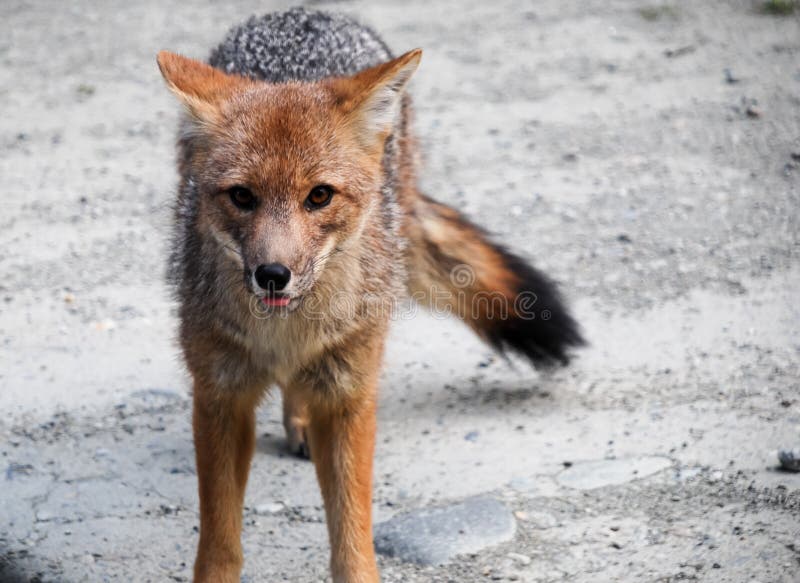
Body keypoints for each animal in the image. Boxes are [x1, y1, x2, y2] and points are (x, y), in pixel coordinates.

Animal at [156, 7, 583, 583]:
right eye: (242, 197)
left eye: (319, 196)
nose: (273, 274)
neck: (286, 335)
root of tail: (305, 13)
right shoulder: (220, 395)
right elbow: (220, 545)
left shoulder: (350, 396)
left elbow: (351, 539)